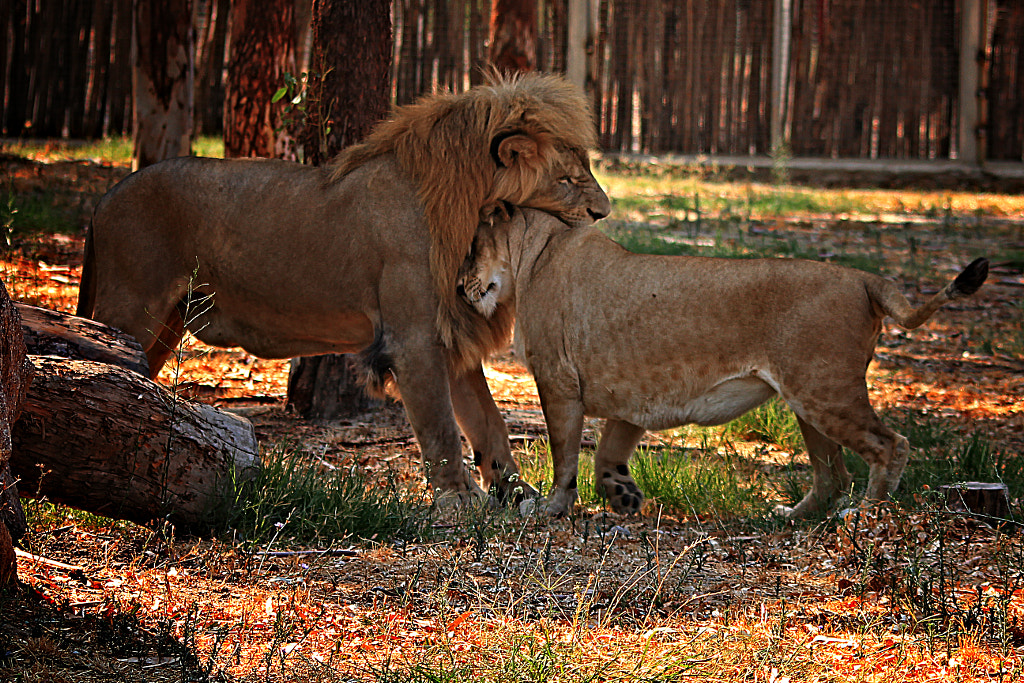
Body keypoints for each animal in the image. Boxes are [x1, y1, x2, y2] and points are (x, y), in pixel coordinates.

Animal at [76, 73, 611, 504]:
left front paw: (516, 494)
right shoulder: (414, 338)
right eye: (566, 179)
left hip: (165, 323)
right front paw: (459, 500)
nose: (603, 212)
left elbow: (488, 423)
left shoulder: (452, 331)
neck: (473, 215)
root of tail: (105, 198)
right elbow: (441, 428)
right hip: (132, 308)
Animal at [457, 207, 989, 518]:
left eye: (470, 250)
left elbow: (565, 454)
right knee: (833, 475)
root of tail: (862, 277)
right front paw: (623, 496)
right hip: (808, 398)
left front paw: (552, 508)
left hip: (826, 391)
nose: (460, 288)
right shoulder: (632, 395)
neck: (536, 251)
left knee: (890, 445)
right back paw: (793, 517)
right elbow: (609, 452)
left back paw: (861, 516)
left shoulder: (558, 381)